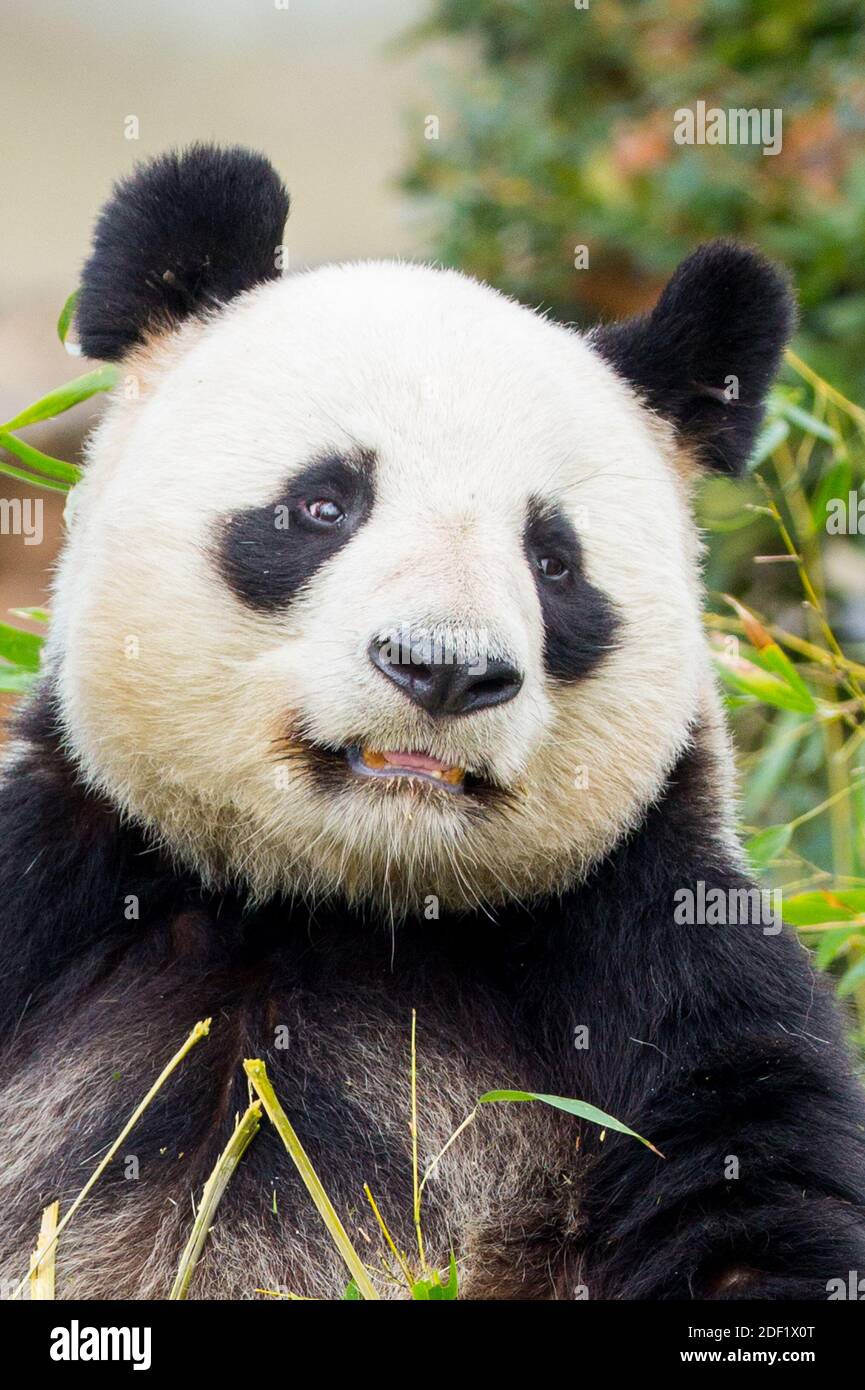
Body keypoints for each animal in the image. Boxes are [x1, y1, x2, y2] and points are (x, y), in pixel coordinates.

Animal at [1, 144, 864, 1302]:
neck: (331, 902)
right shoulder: (55, 877)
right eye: (324, 505)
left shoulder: (653, 951)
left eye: (552, 559)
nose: (445, 670)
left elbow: (752, 1204)